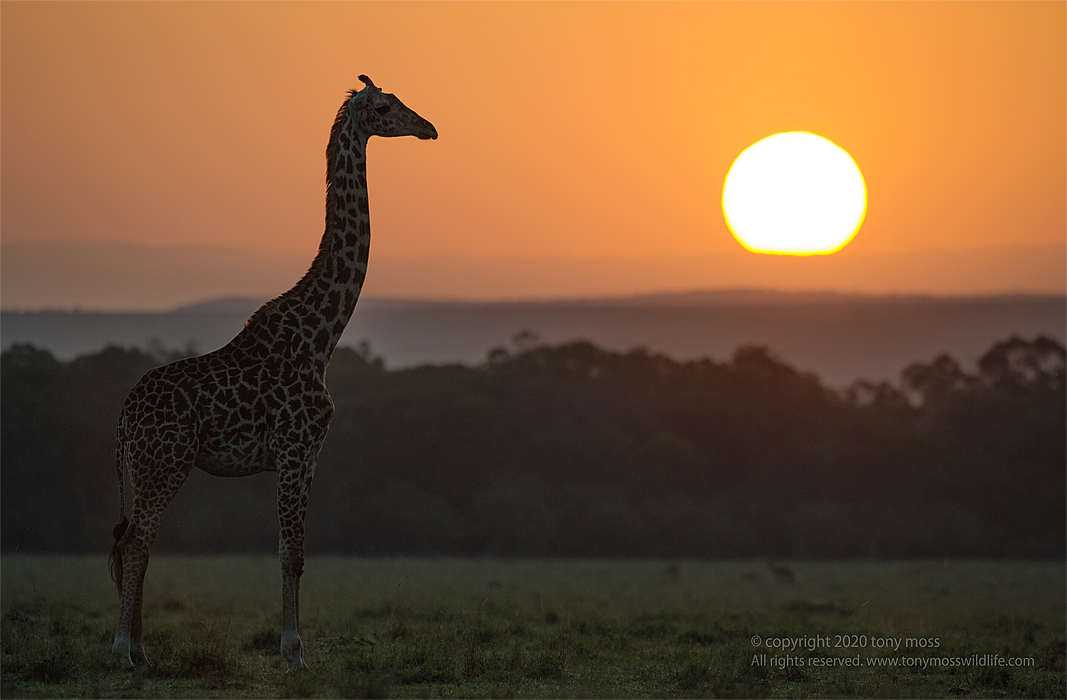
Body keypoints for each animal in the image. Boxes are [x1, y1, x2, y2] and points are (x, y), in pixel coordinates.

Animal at [108, 76, 436, 671]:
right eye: (384, 108)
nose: (429, 127)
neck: (323, 336)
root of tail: (122, 419)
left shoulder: (310, 456)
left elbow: (298, 552)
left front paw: (296, 648)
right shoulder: (293, 448)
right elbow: (290, 552)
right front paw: (294, 653)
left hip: (145, 467)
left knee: (138, 538)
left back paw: (140, 649)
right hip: (164, 462)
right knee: (136, 540)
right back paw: (123, 650)